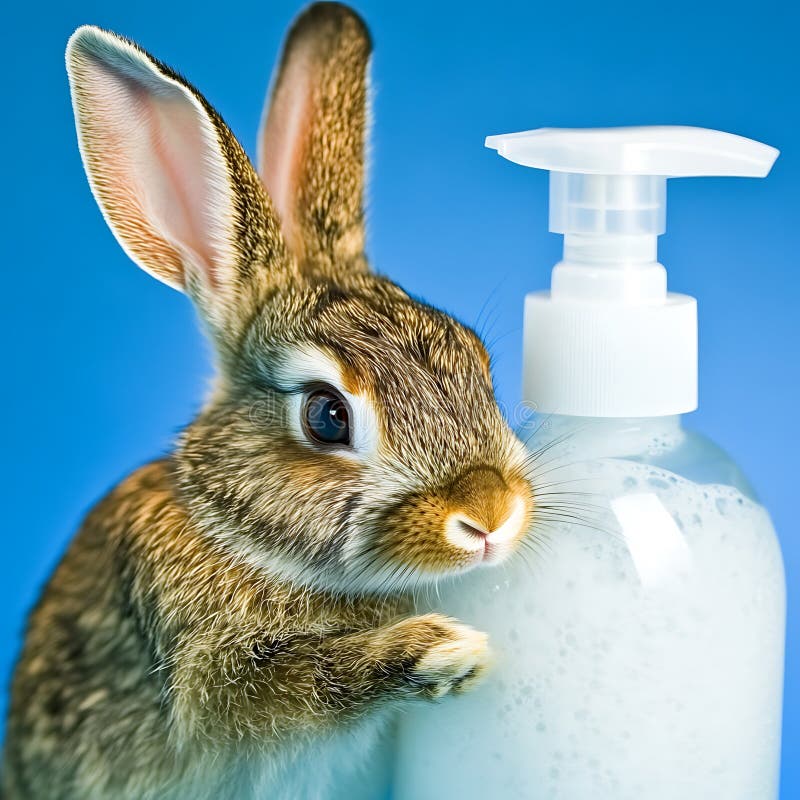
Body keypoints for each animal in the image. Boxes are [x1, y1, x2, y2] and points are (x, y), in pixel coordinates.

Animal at [1, 3, 535, 799]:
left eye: (475, 356)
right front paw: (440, 652)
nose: (491, 515)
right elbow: (304, 683)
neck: (240, 534)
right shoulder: (214, 682)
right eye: (326, 416)